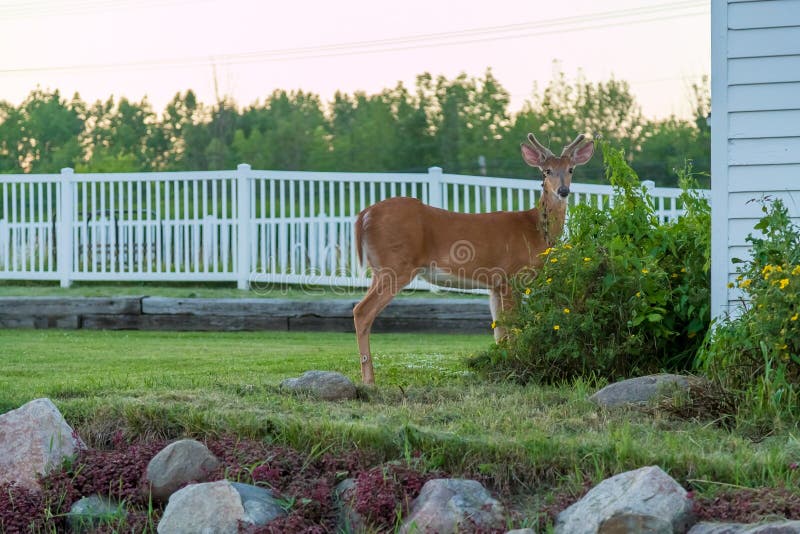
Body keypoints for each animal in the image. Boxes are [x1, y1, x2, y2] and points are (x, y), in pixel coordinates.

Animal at [352, 132, 595, 384]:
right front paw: (517, 369)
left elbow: (499, 332)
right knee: (361, 311)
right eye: (546, 171)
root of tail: (364, 214)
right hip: (396, 265)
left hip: (380, 268)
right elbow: (513, 328)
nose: (563, 191)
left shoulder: (495, 285)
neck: (535, 229)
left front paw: (501, 369)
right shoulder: (512, 277)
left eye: (571, 169)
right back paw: (369, 380)